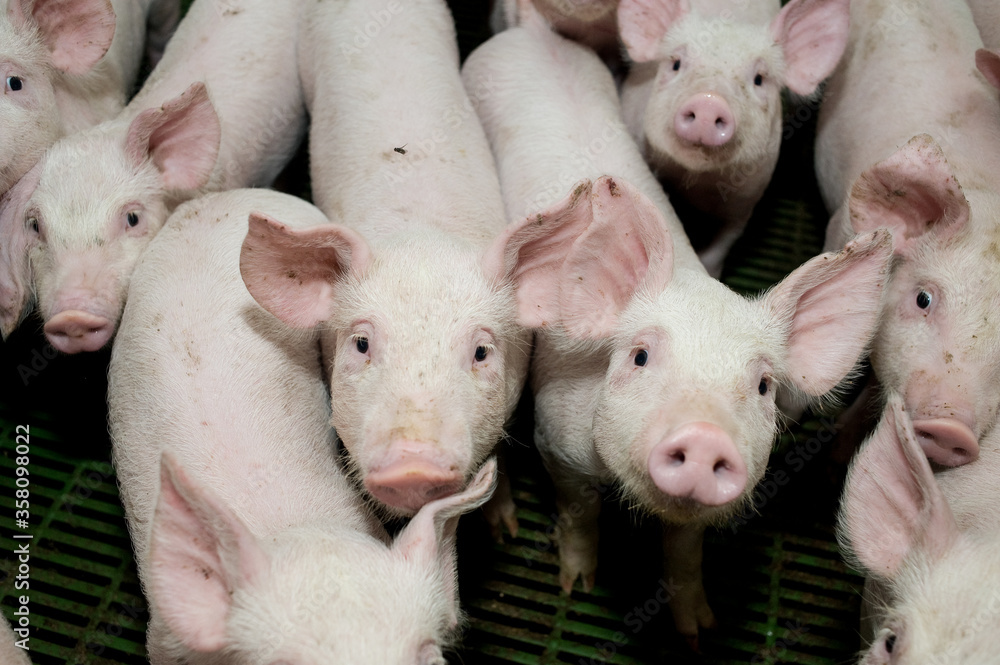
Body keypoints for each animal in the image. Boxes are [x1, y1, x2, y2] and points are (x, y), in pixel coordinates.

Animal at [617, 0, 850, 277]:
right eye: (675, 64)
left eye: (759, 79)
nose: (709, 101)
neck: (694, 181)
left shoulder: (746, 200)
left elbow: (719, 248)